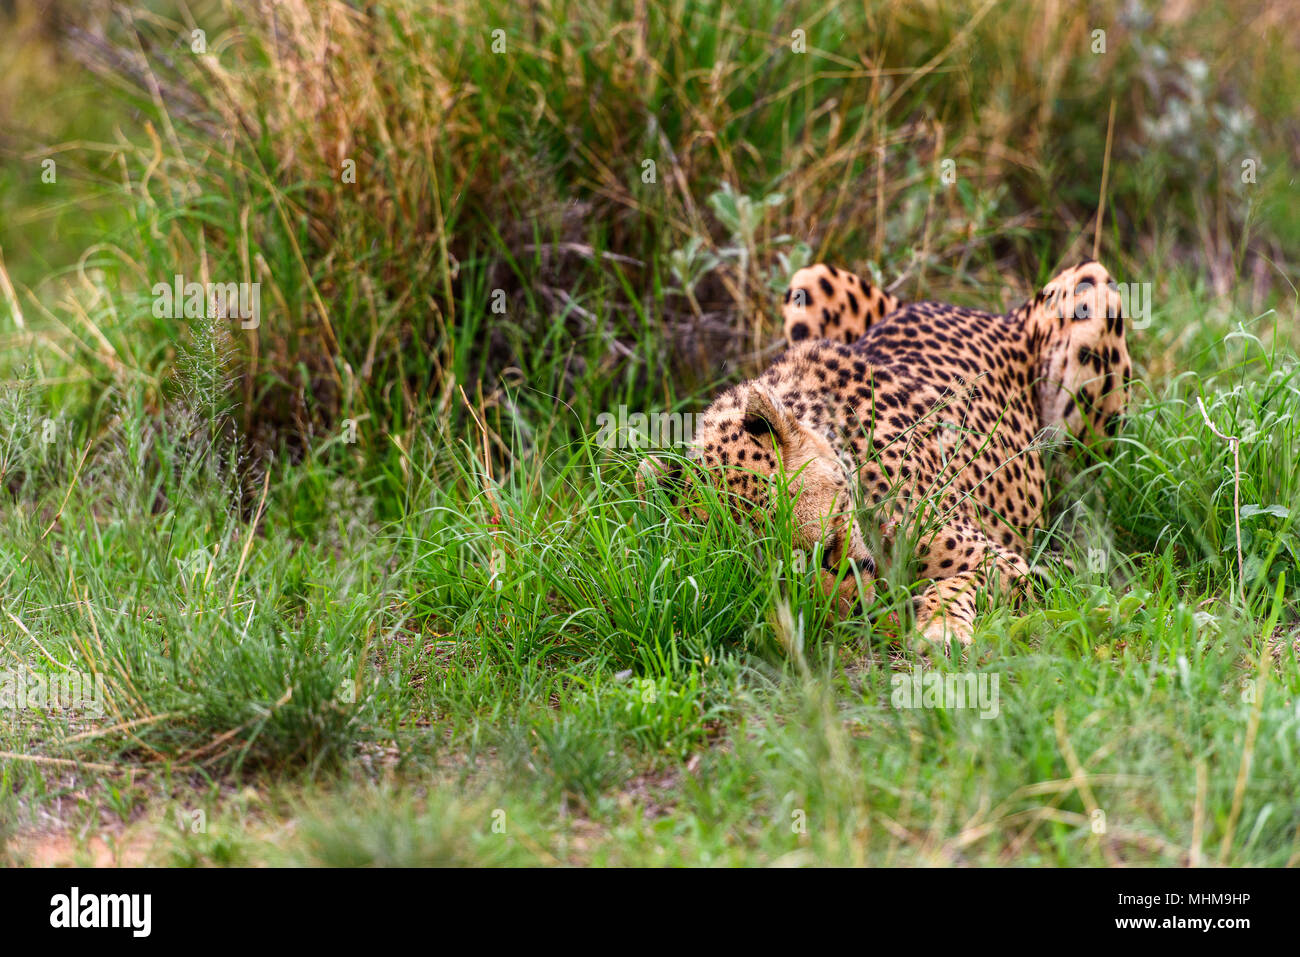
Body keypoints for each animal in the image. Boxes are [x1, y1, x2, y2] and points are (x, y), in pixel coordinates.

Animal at [639, 260, 1132, 649]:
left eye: (825, 548)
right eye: (780, 579)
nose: (854, 608)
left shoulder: (1008, 564)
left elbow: (962, 581)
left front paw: (940, 624)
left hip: (1088, 288)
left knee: (1091, 490)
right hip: (809, 278)